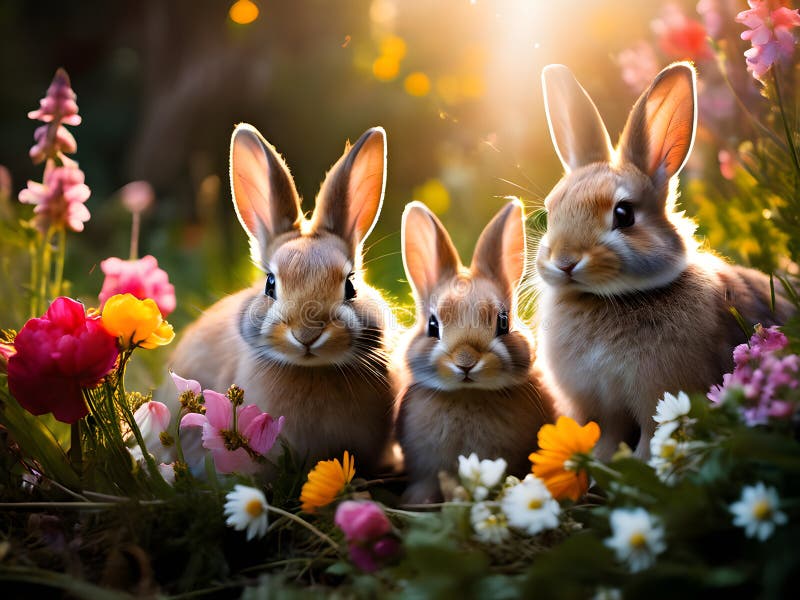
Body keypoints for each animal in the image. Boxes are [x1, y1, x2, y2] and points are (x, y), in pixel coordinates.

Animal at [533, 61, 793, 461]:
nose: (565, 262)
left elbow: (651, 439)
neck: (607, 299)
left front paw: (642, 465)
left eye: (623, 214)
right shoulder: (604, 410)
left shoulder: (658, 396)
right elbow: (607, 440)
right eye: (551, 211)